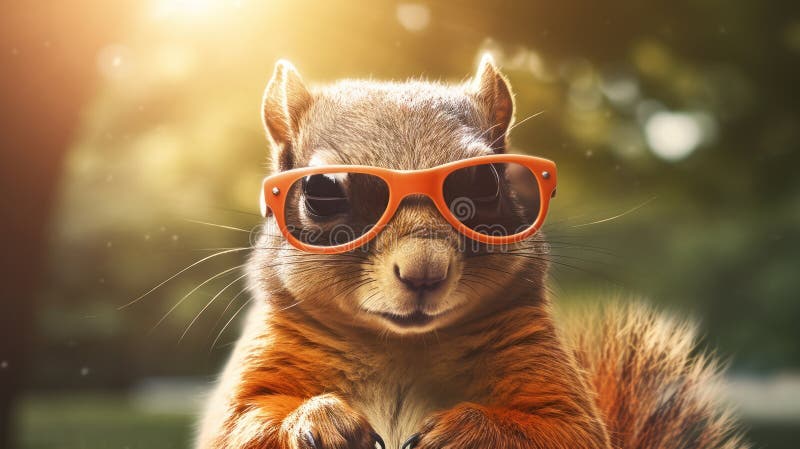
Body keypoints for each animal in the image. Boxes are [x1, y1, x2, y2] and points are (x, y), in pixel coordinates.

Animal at [196, 55, 748, 449]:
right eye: (320, 192)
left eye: (486, 183)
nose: (424, 270)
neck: (401, 349)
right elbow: (241, 426)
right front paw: (319, 419)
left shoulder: (546, 374)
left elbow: (565, 431)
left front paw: (466, 429)